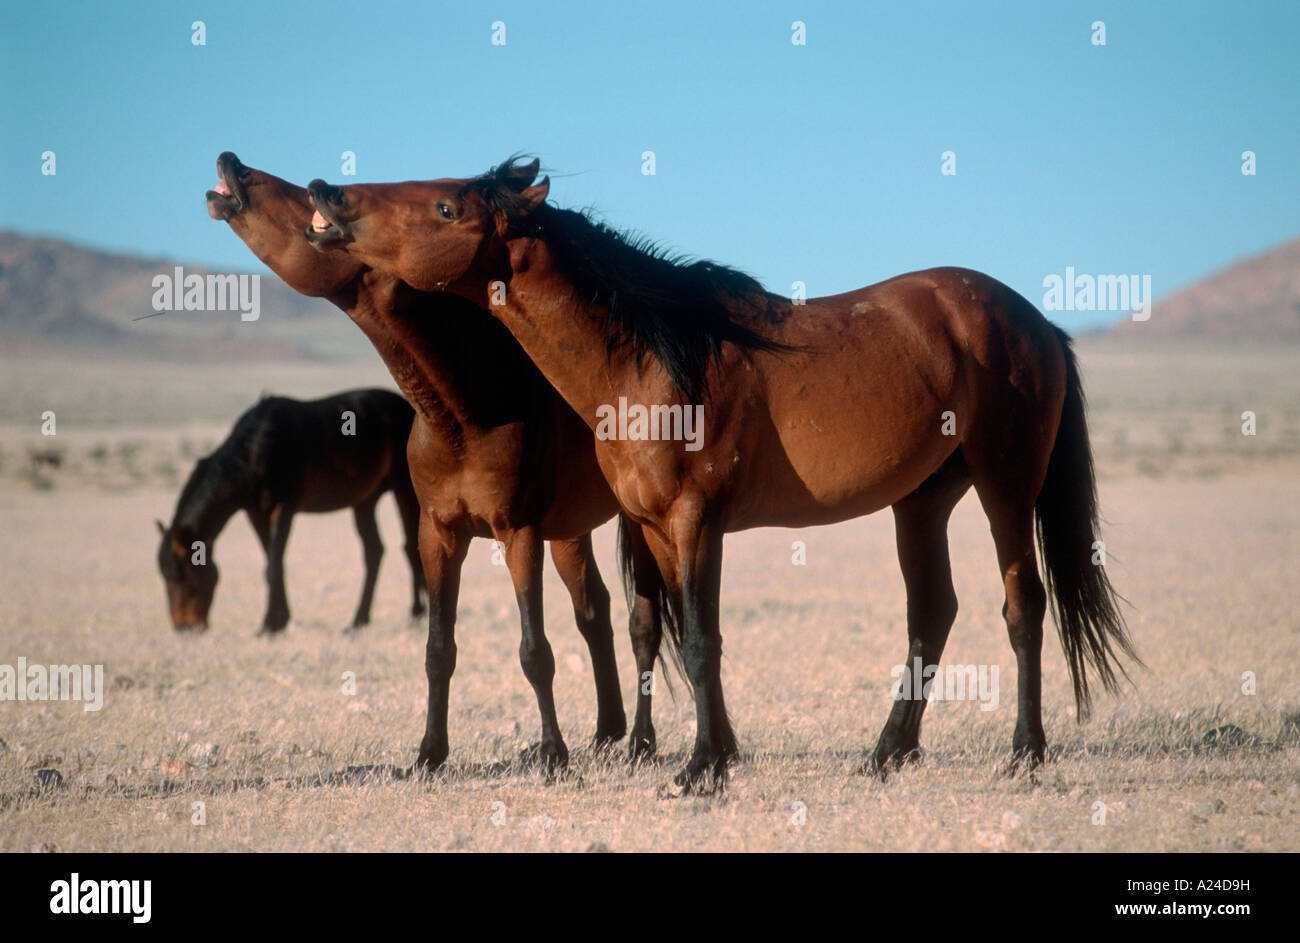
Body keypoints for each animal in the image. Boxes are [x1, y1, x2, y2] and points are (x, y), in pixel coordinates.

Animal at [156, 388, 425, 633]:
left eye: (183, 576)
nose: (184, 628)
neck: (254, 452)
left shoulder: (283, 508)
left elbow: (273, 566)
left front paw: (268, 625)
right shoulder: (256, 514)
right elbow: (272, 562)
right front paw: (279, 621)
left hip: (403, 487)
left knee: (409, 546)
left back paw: (417, 613)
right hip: (364, 501)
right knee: (374, 552)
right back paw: (358, 621)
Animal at [207, 153, 672, 769]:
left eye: (292, 195)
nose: (232, 164)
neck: (467, 412)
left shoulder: (517, 533)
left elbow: (535, 651)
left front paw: (551, 751)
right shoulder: (439, 533)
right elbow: (438, 648)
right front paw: (430, 752)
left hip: (632, 522)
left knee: (642, 624)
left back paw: (640, 740)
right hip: (570, 531)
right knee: (593, 612)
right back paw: (605, 732)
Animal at [303, 156, 1139, 792]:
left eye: (444, 204)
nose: (327, 194)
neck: (653, 359)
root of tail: (1034, 321)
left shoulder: (695, 517)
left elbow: (701, 640)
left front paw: (701, 767)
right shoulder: (653, 527)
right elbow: (677, 631)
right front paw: (713, 752)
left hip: (1006, 488)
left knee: (1023, 606)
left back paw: (1025, 752)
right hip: (922, 503)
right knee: (932, 612)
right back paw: (888, 751)